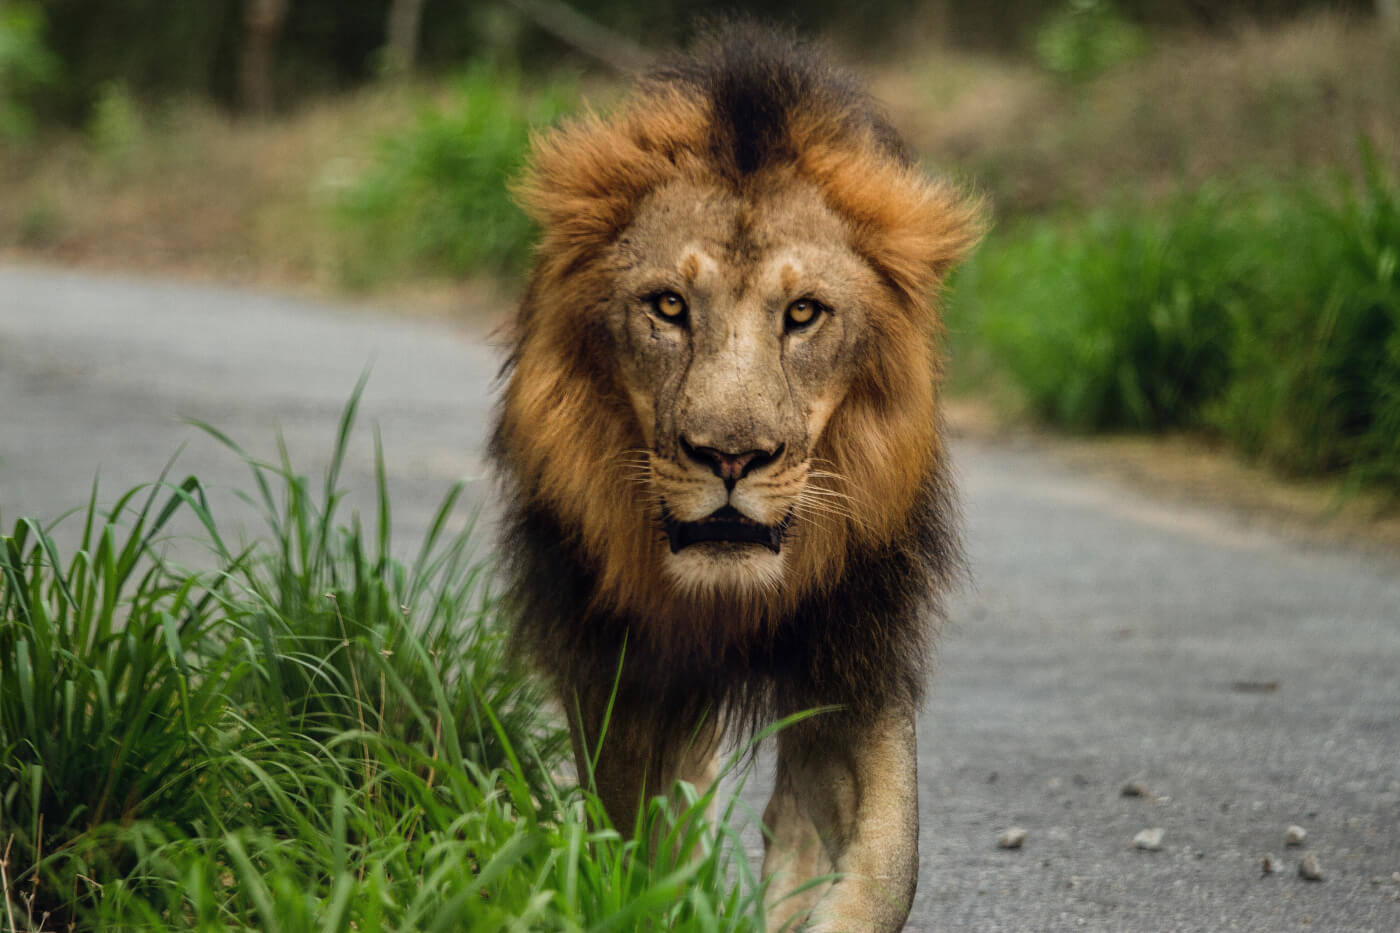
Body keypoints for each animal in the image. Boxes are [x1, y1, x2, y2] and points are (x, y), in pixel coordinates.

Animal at [491, 24, 982, 933]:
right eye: (668, 306)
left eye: (804, 313)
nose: (729, 456)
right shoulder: (621, 669)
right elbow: (644, 837)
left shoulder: (853, 648)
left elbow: (886, 864)